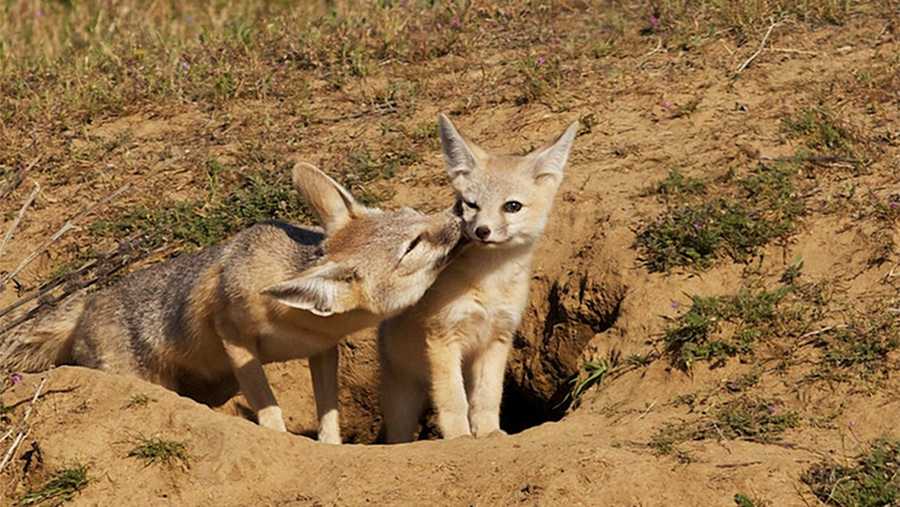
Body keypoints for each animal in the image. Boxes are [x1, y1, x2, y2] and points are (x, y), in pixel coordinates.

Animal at [0, 161, 466, 444]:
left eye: (414, 215)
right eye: (412, 246)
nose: (460, 216)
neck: (300, 324)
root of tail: (90, 301)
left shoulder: (322, 351)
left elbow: (328, 410)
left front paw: (331, 444)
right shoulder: (233, 335)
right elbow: (268, 402)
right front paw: (278, 435)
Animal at [378, 114, 578, 442]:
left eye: (512, 206)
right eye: (471, 205)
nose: (482, 231)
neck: (491, 283)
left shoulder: (498, 339)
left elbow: (487, 397)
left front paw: (489, 433)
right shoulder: (443, 338)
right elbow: (453, 399)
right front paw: (459, 437)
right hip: (402, 399)